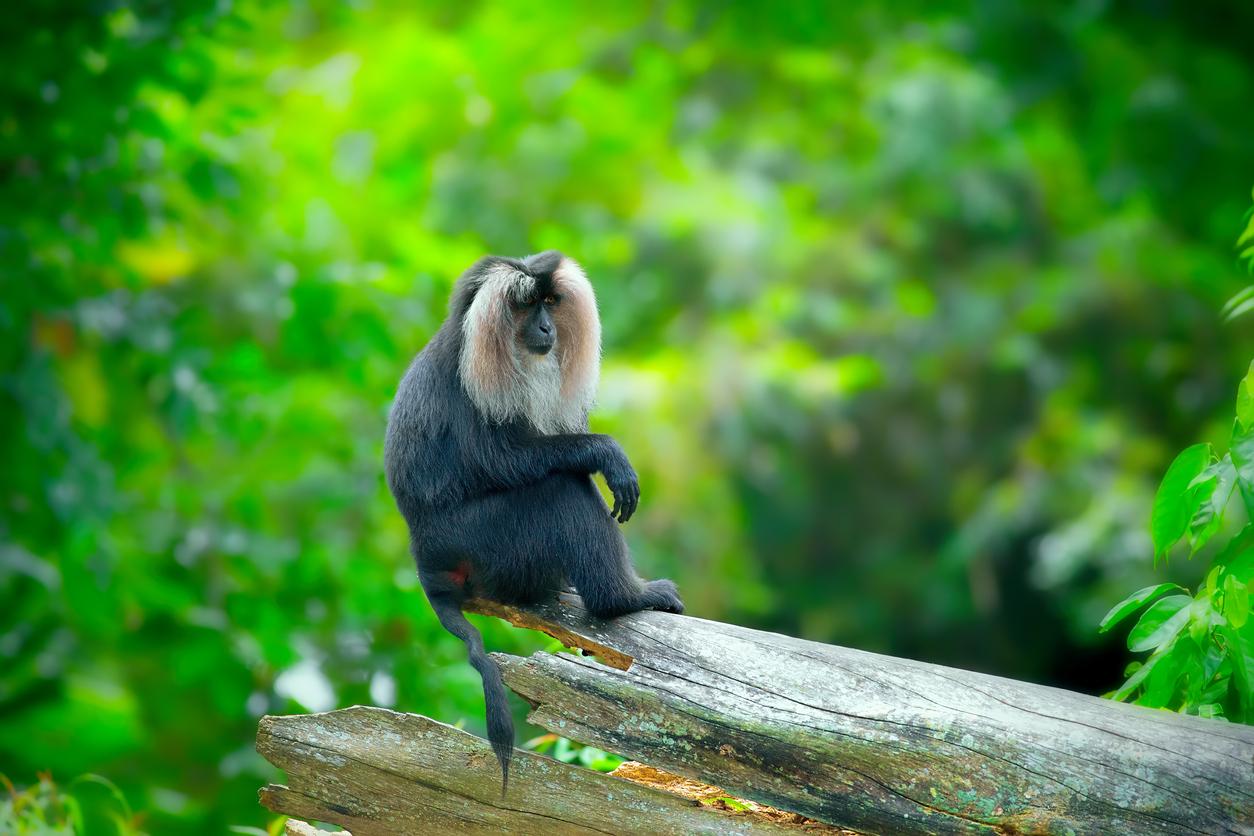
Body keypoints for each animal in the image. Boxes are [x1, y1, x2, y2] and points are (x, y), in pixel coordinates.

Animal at [383, 250, 684, 794]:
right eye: (526, 307)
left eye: (550, 303)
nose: (546, 328)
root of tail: (426, 561)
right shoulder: (473, 386)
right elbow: (501, 460)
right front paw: (606, 453)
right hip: (487, 541)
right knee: (560, 489)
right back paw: (622, 599)